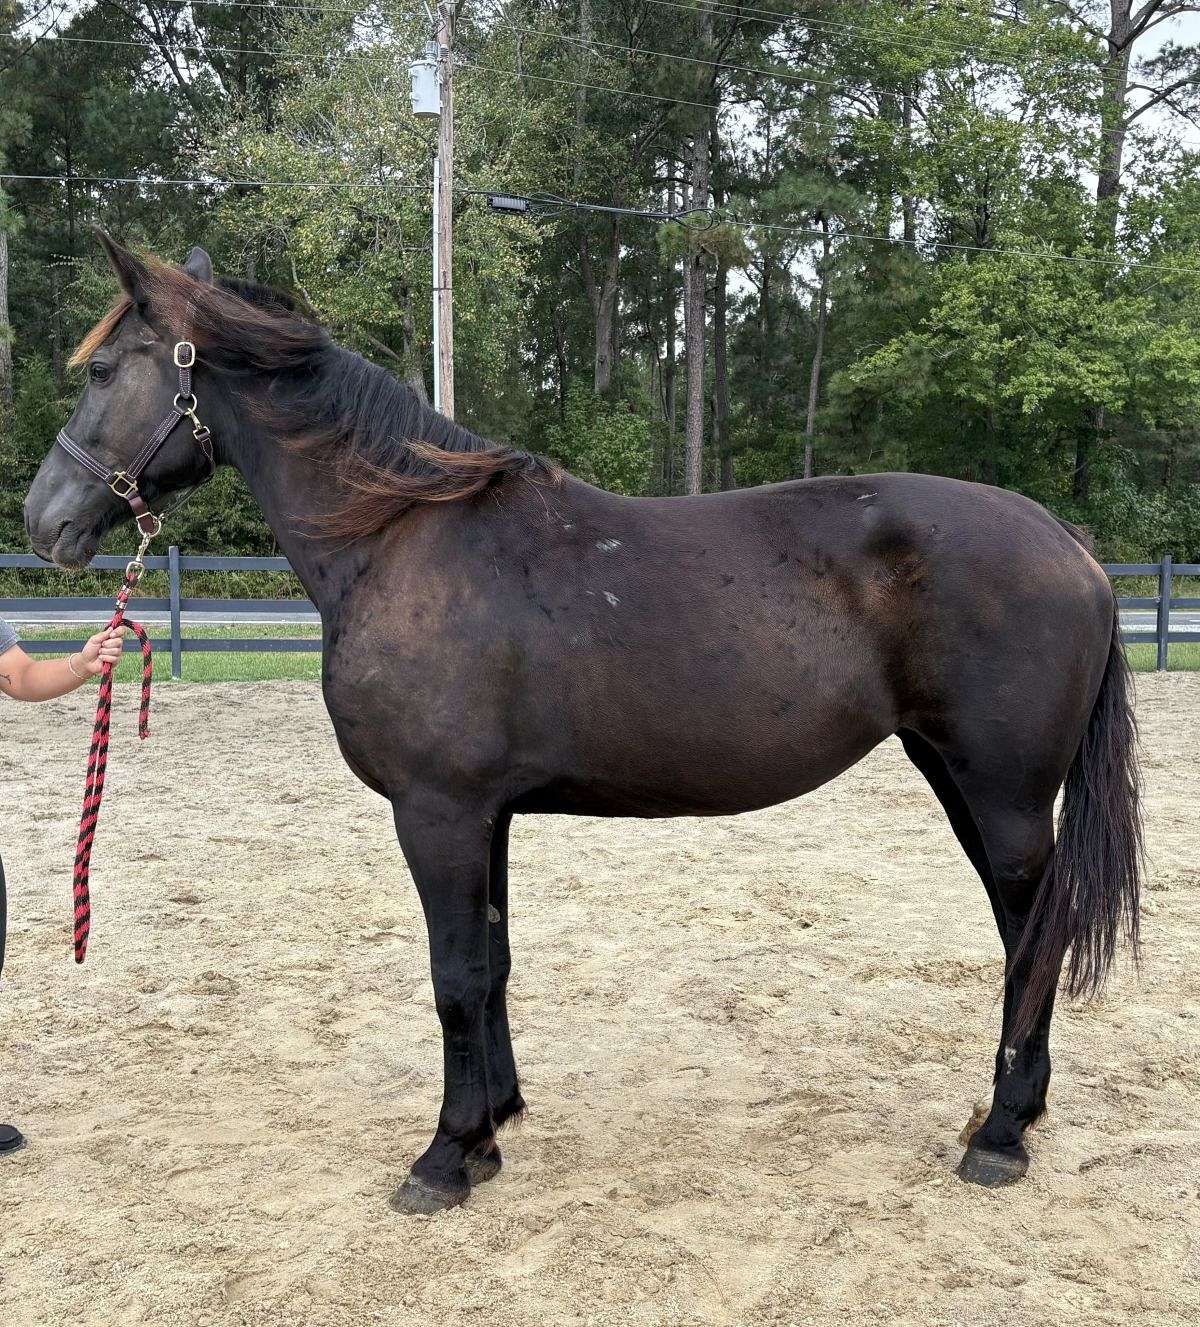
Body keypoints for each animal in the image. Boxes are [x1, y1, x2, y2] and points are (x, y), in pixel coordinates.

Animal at [23, 235, 1142, 1214]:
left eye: (106, 369)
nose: (45, 522)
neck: (402, 537)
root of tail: (1069, 544)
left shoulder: (436, 813)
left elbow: (453, 976)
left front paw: (444, 1153)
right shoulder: (486, 815)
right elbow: (492, 963)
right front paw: (493, 1127)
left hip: (1000, 794)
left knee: (1032, 934)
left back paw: (1000, 1135)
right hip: (958, 779)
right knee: (1023, 935)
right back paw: (1011, 1116)